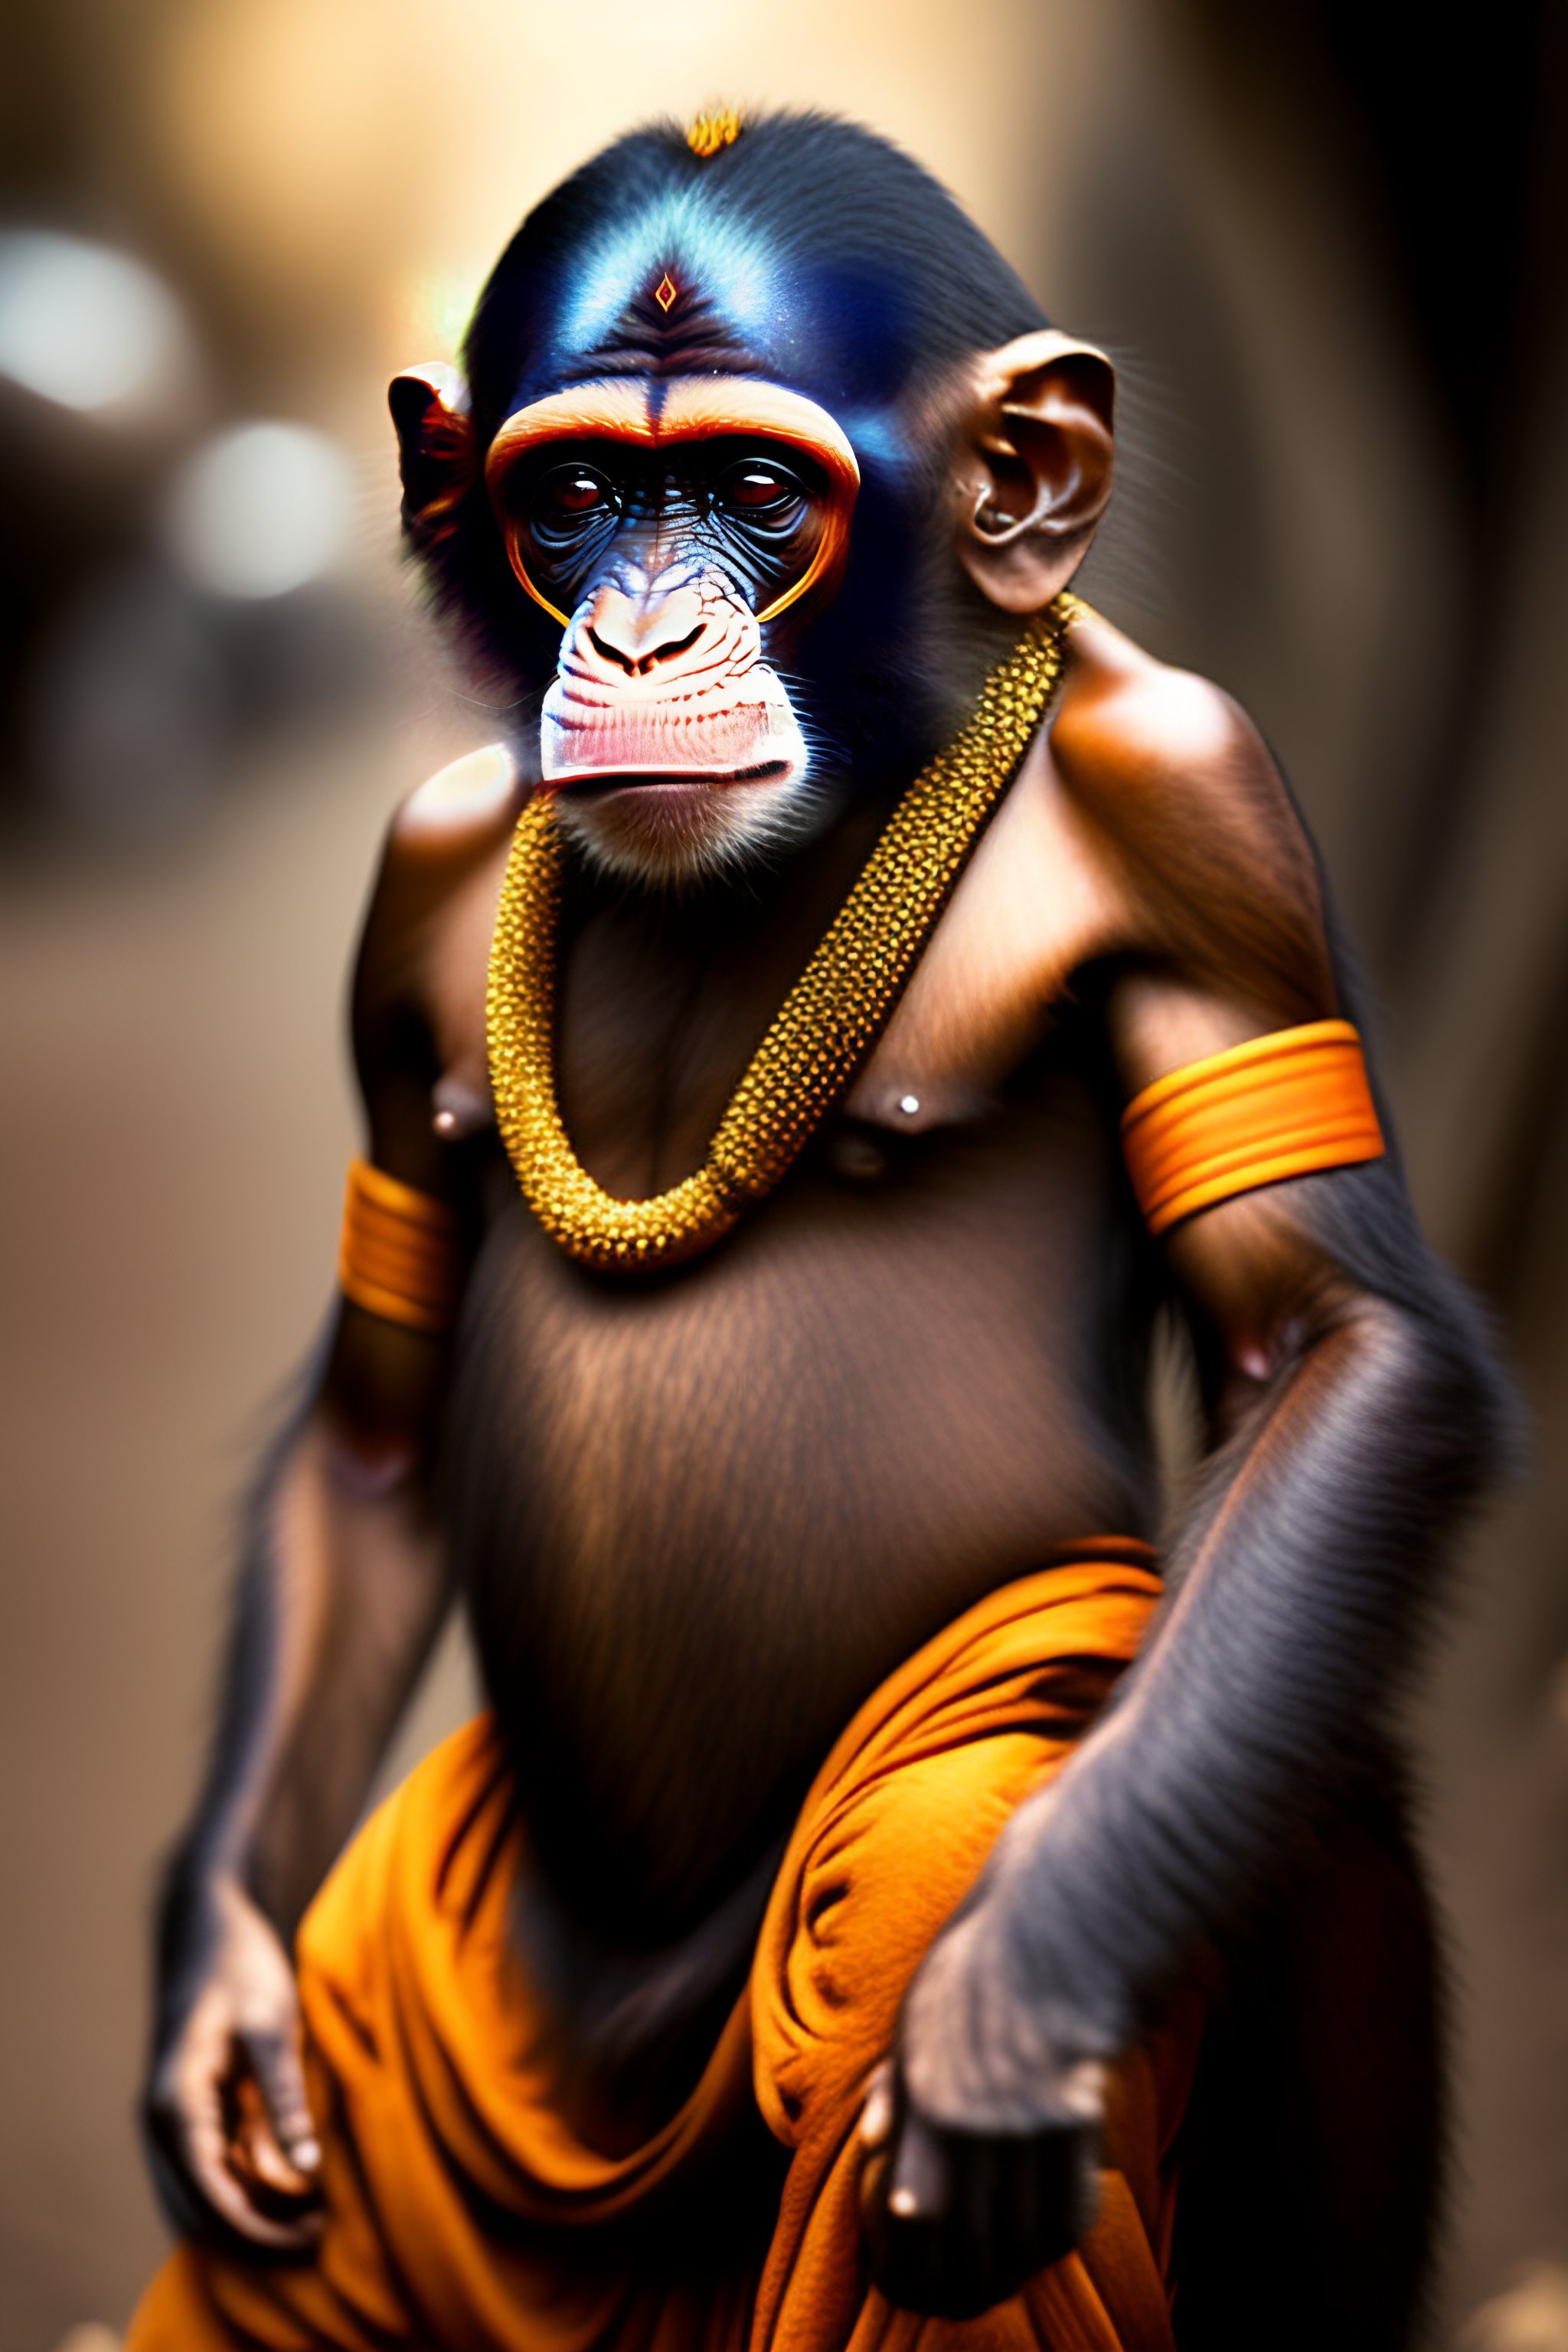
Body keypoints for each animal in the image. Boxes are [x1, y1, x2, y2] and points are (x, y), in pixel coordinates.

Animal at [130, 112, 1509, 2352]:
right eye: (578, 497)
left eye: (756, 493)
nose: (635, 639)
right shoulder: (414, 873)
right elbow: (380, 1426)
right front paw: (216, 2009)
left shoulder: (1197, 804)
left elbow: (1326, 1339)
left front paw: (1007, 2016)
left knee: (969, 1826)